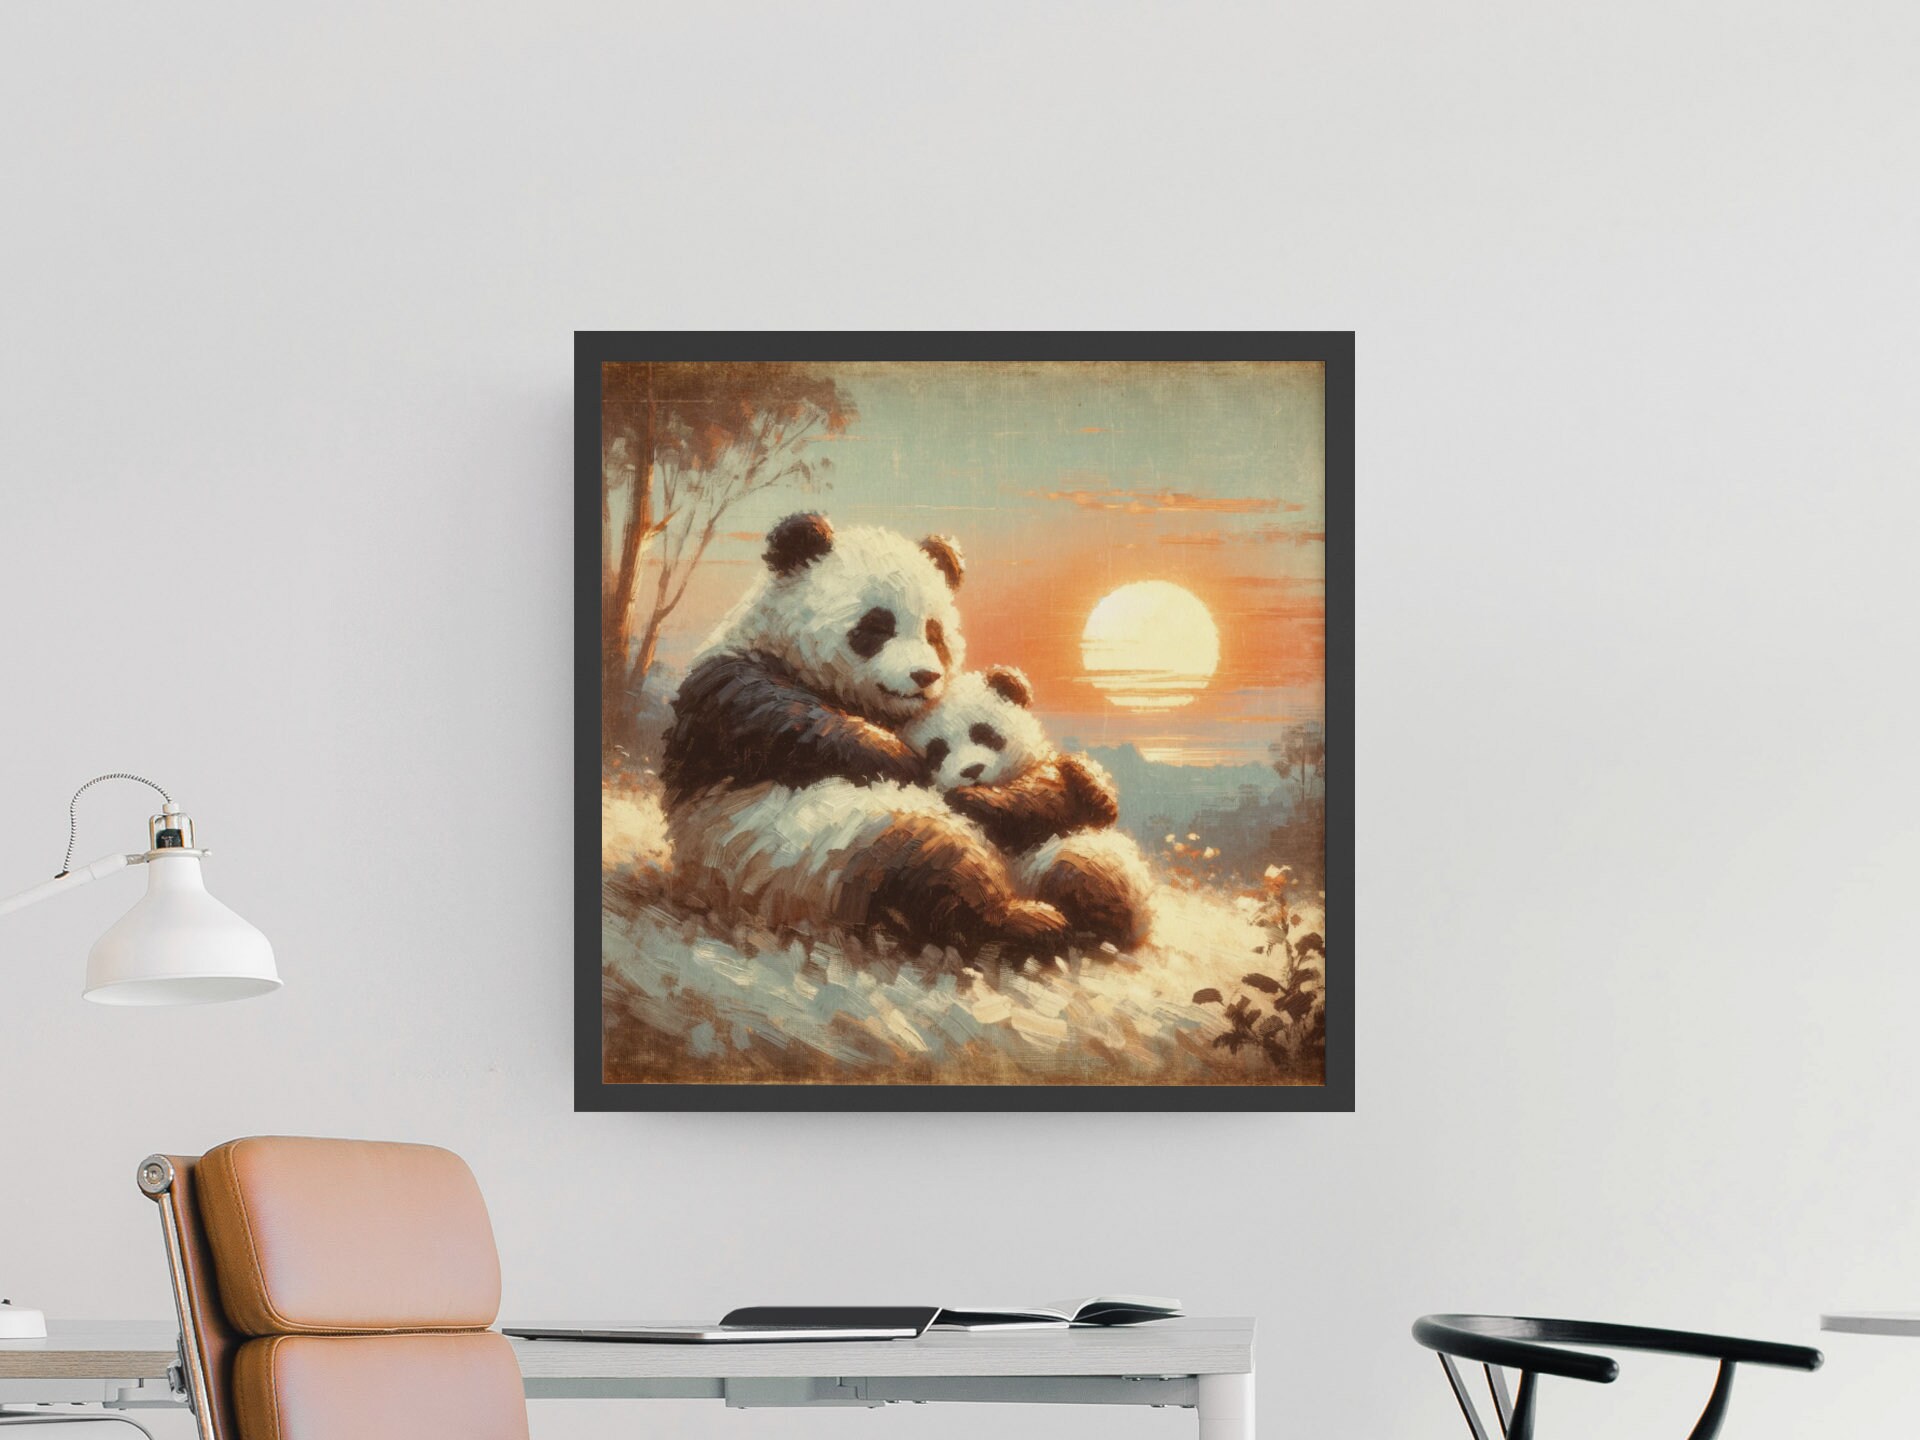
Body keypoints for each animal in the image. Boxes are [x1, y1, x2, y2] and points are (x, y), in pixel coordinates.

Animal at [660, 512, 1070, 954]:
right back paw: (1026, 920)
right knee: (934, 862)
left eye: (935, 634)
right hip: (816, 853)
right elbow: (789, 720)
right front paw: (899, 757)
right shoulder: (728, 690)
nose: (925, 676)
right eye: (877, 627)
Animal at [902, 667, 1155, 951]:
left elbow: (1070, 796)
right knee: (957, 892)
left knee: (1085, 868)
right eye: (937, 751)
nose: (972, 770)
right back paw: (1036, 922)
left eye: (983, 733)